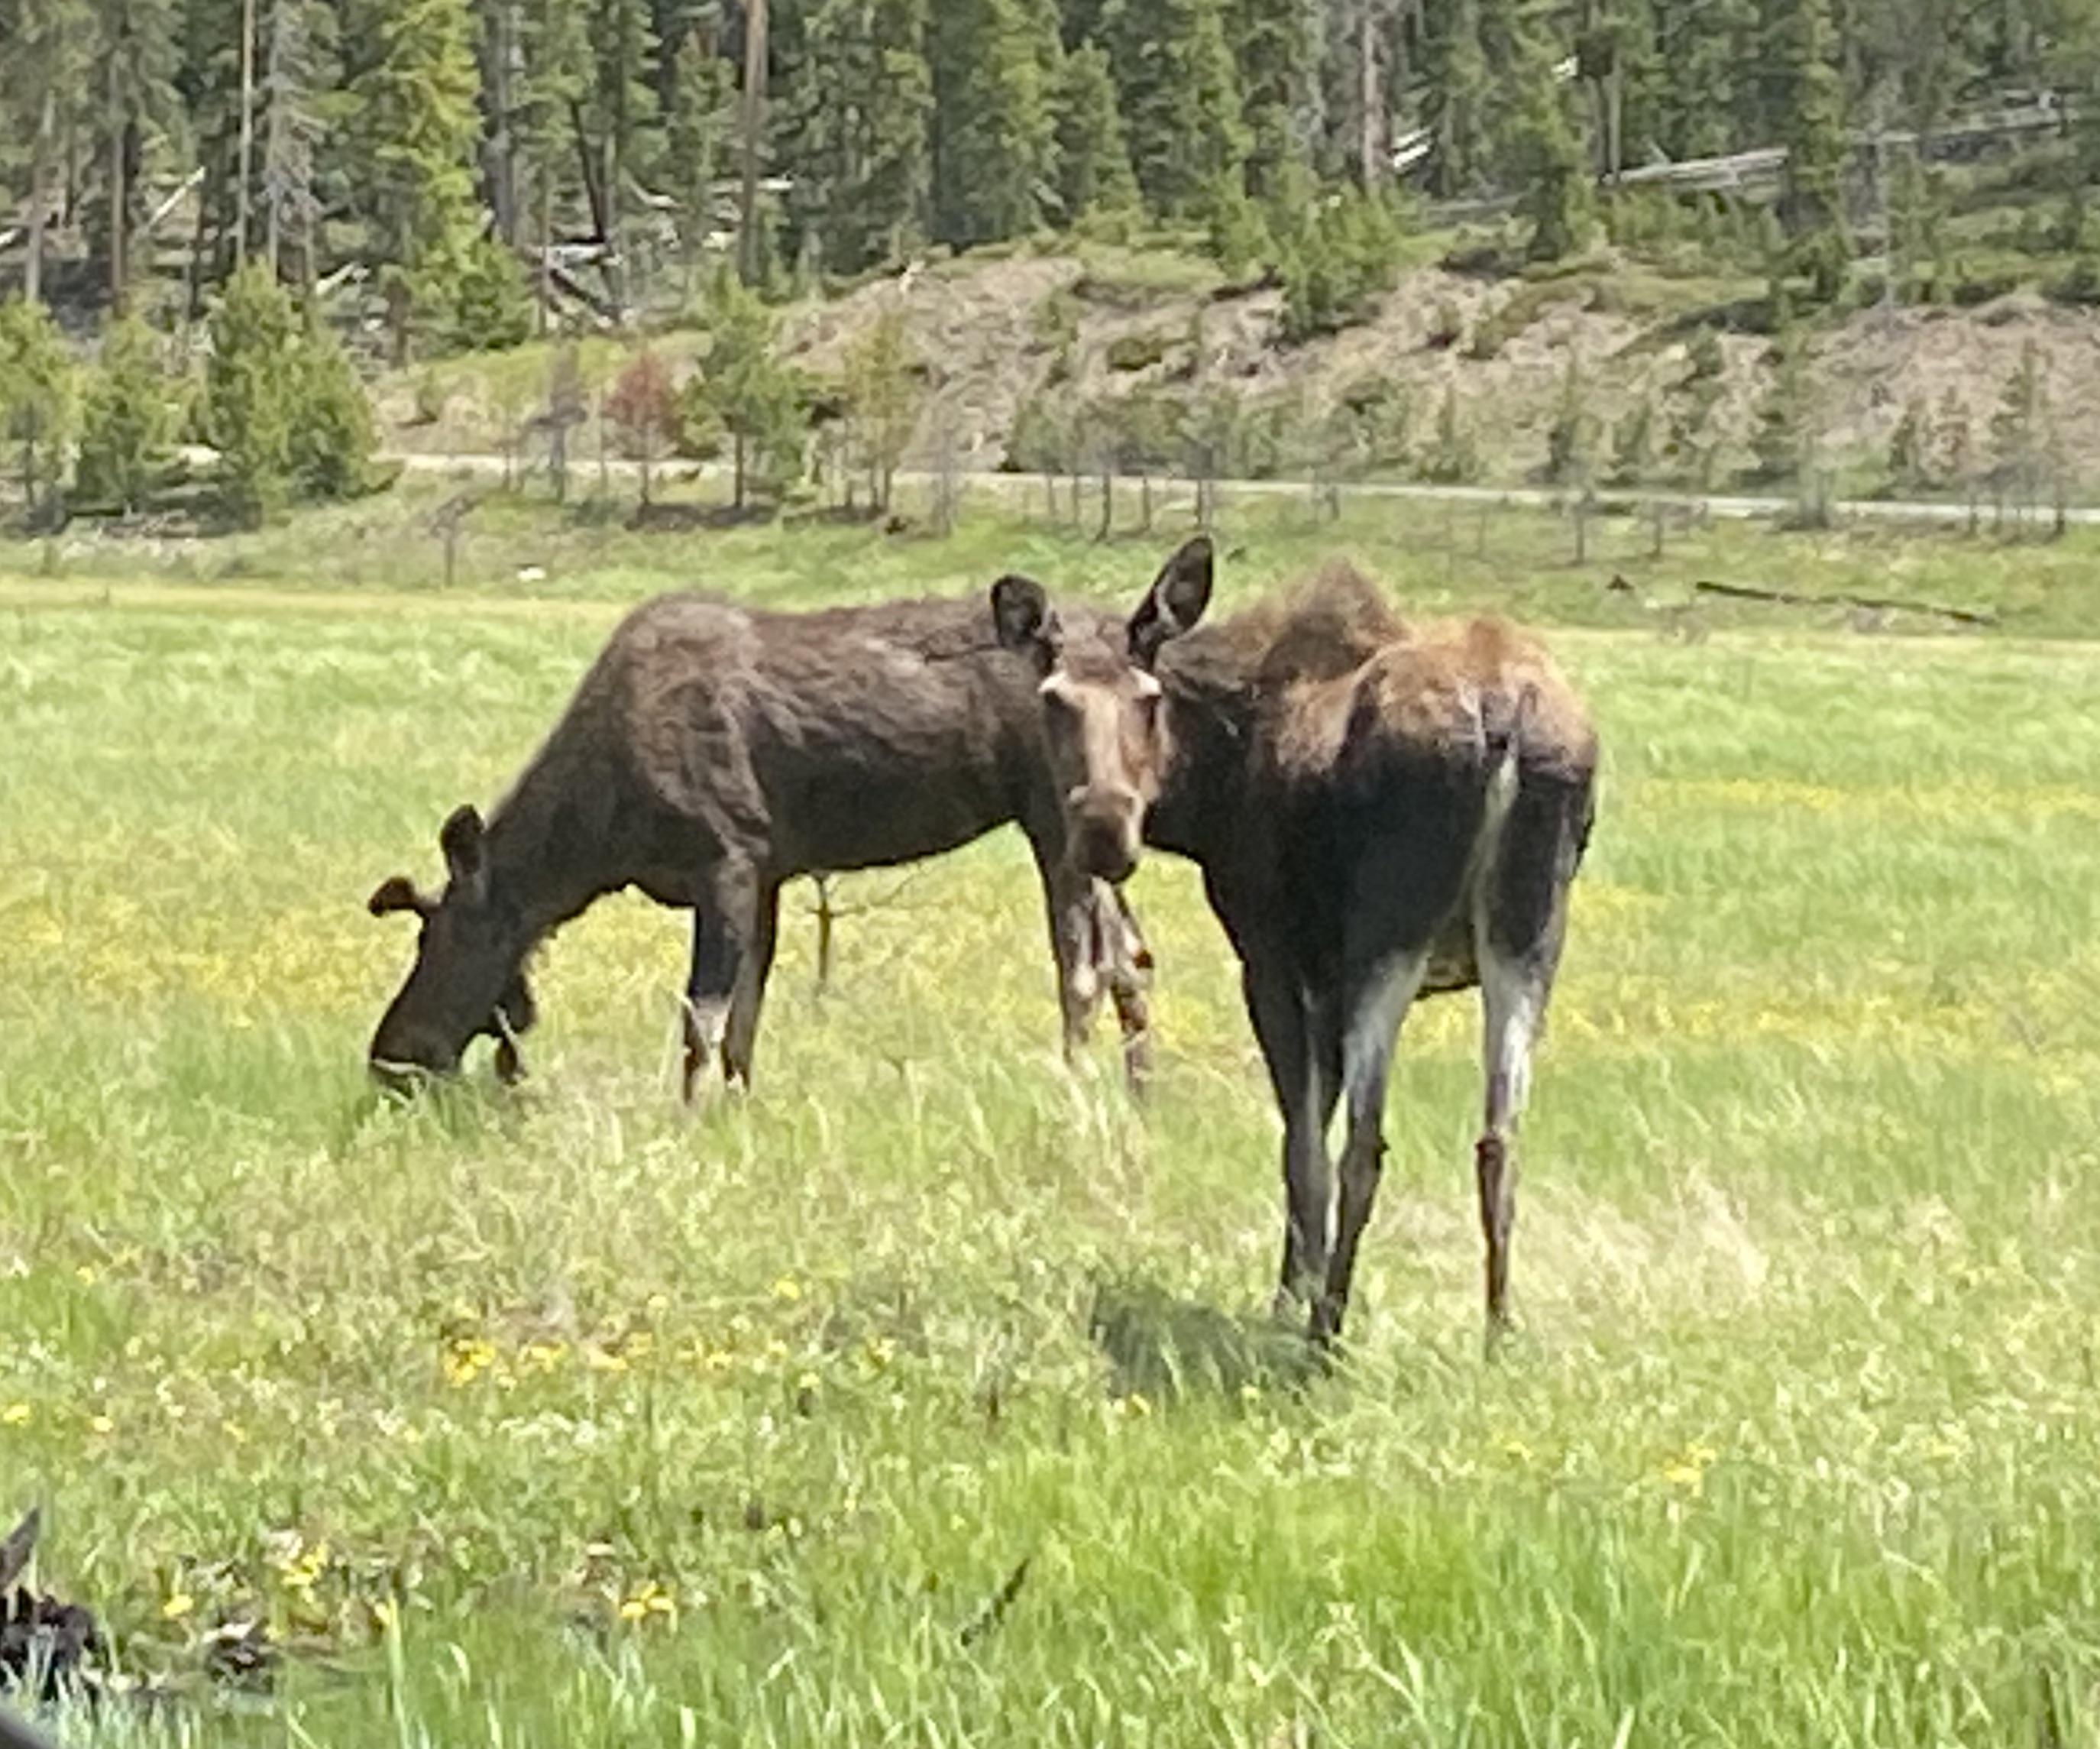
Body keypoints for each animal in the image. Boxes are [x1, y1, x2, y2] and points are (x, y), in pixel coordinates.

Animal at [366, 589, 1155, 1098]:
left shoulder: (727, 862)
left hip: (1055, 823)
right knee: (1132, 961)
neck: (598, 836)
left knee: (1084, 968)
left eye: (435, 941)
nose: (389, 1057)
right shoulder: (768, 873)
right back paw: (1140, 1100)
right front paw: (736, 1117)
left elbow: (702, 1019)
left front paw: (686, 1125)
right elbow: (744, 1025)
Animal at [989, 537, 1598, 1345]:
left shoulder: (1274, 960)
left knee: (1365, 1144)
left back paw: (1324, 1332)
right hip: (1529, 938)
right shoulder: (1326, 978)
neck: (1208, 793)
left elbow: (1299, 1143)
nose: (1105, 829)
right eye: (1053, 699)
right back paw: (1495, 1336)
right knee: (1500, 1140)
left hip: (1388, 934)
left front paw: (1286, 1299)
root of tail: (1502, 716)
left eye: (1147, 699)